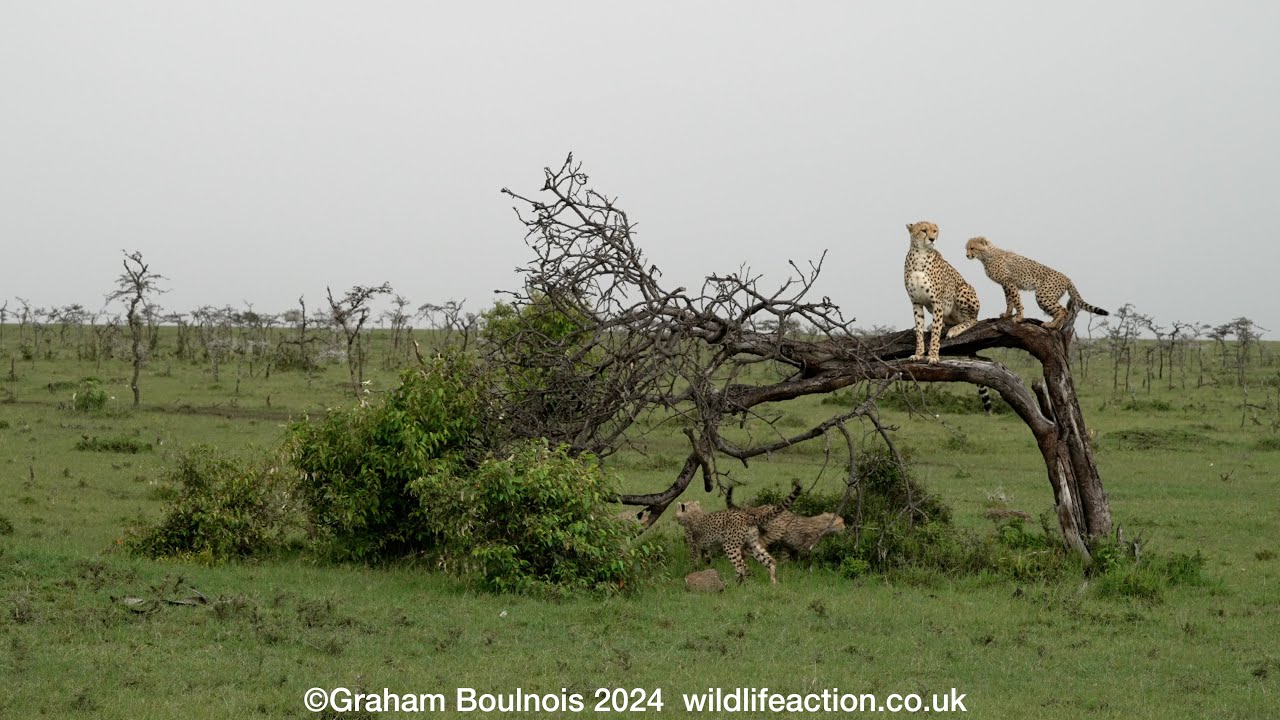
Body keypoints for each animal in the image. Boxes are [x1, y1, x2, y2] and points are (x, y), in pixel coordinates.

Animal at [674, 481, 803, 584]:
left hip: (730, 546)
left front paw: (690, 571)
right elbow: (706, 558)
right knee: (770, 561)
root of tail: (747, 517)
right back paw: (773, 582)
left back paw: (737, 583)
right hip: (752, 544)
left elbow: (693, 560)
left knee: (742, 567)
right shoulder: (704, 547)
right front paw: (703, 568)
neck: (694, 513)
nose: (676, 519)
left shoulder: (693, 546)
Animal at [903, 221, 981, 363]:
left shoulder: (937, 302)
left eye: (935, 231)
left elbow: (936, 331)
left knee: (972, 320)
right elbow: (919, 330)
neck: (920, 254)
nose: (932, 239)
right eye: (923, 230)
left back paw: (954, 330)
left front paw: (933, 355)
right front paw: (918, 354)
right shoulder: (916, 302)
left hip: (963, 289)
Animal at [964, 236, 1109, 329]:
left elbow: (1016, 300)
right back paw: (1054, 325)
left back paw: (1052, 325)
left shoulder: (1009, 282)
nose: (967, 255)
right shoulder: (1005, 284)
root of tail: (1067, 278)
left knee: (1063, 310)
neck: (986, 256)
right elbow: (1009, 300)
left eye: (972, 248)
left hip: (1043, 294)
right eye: (966, 248)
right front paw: (1007, 314)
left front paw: (1019, 317)